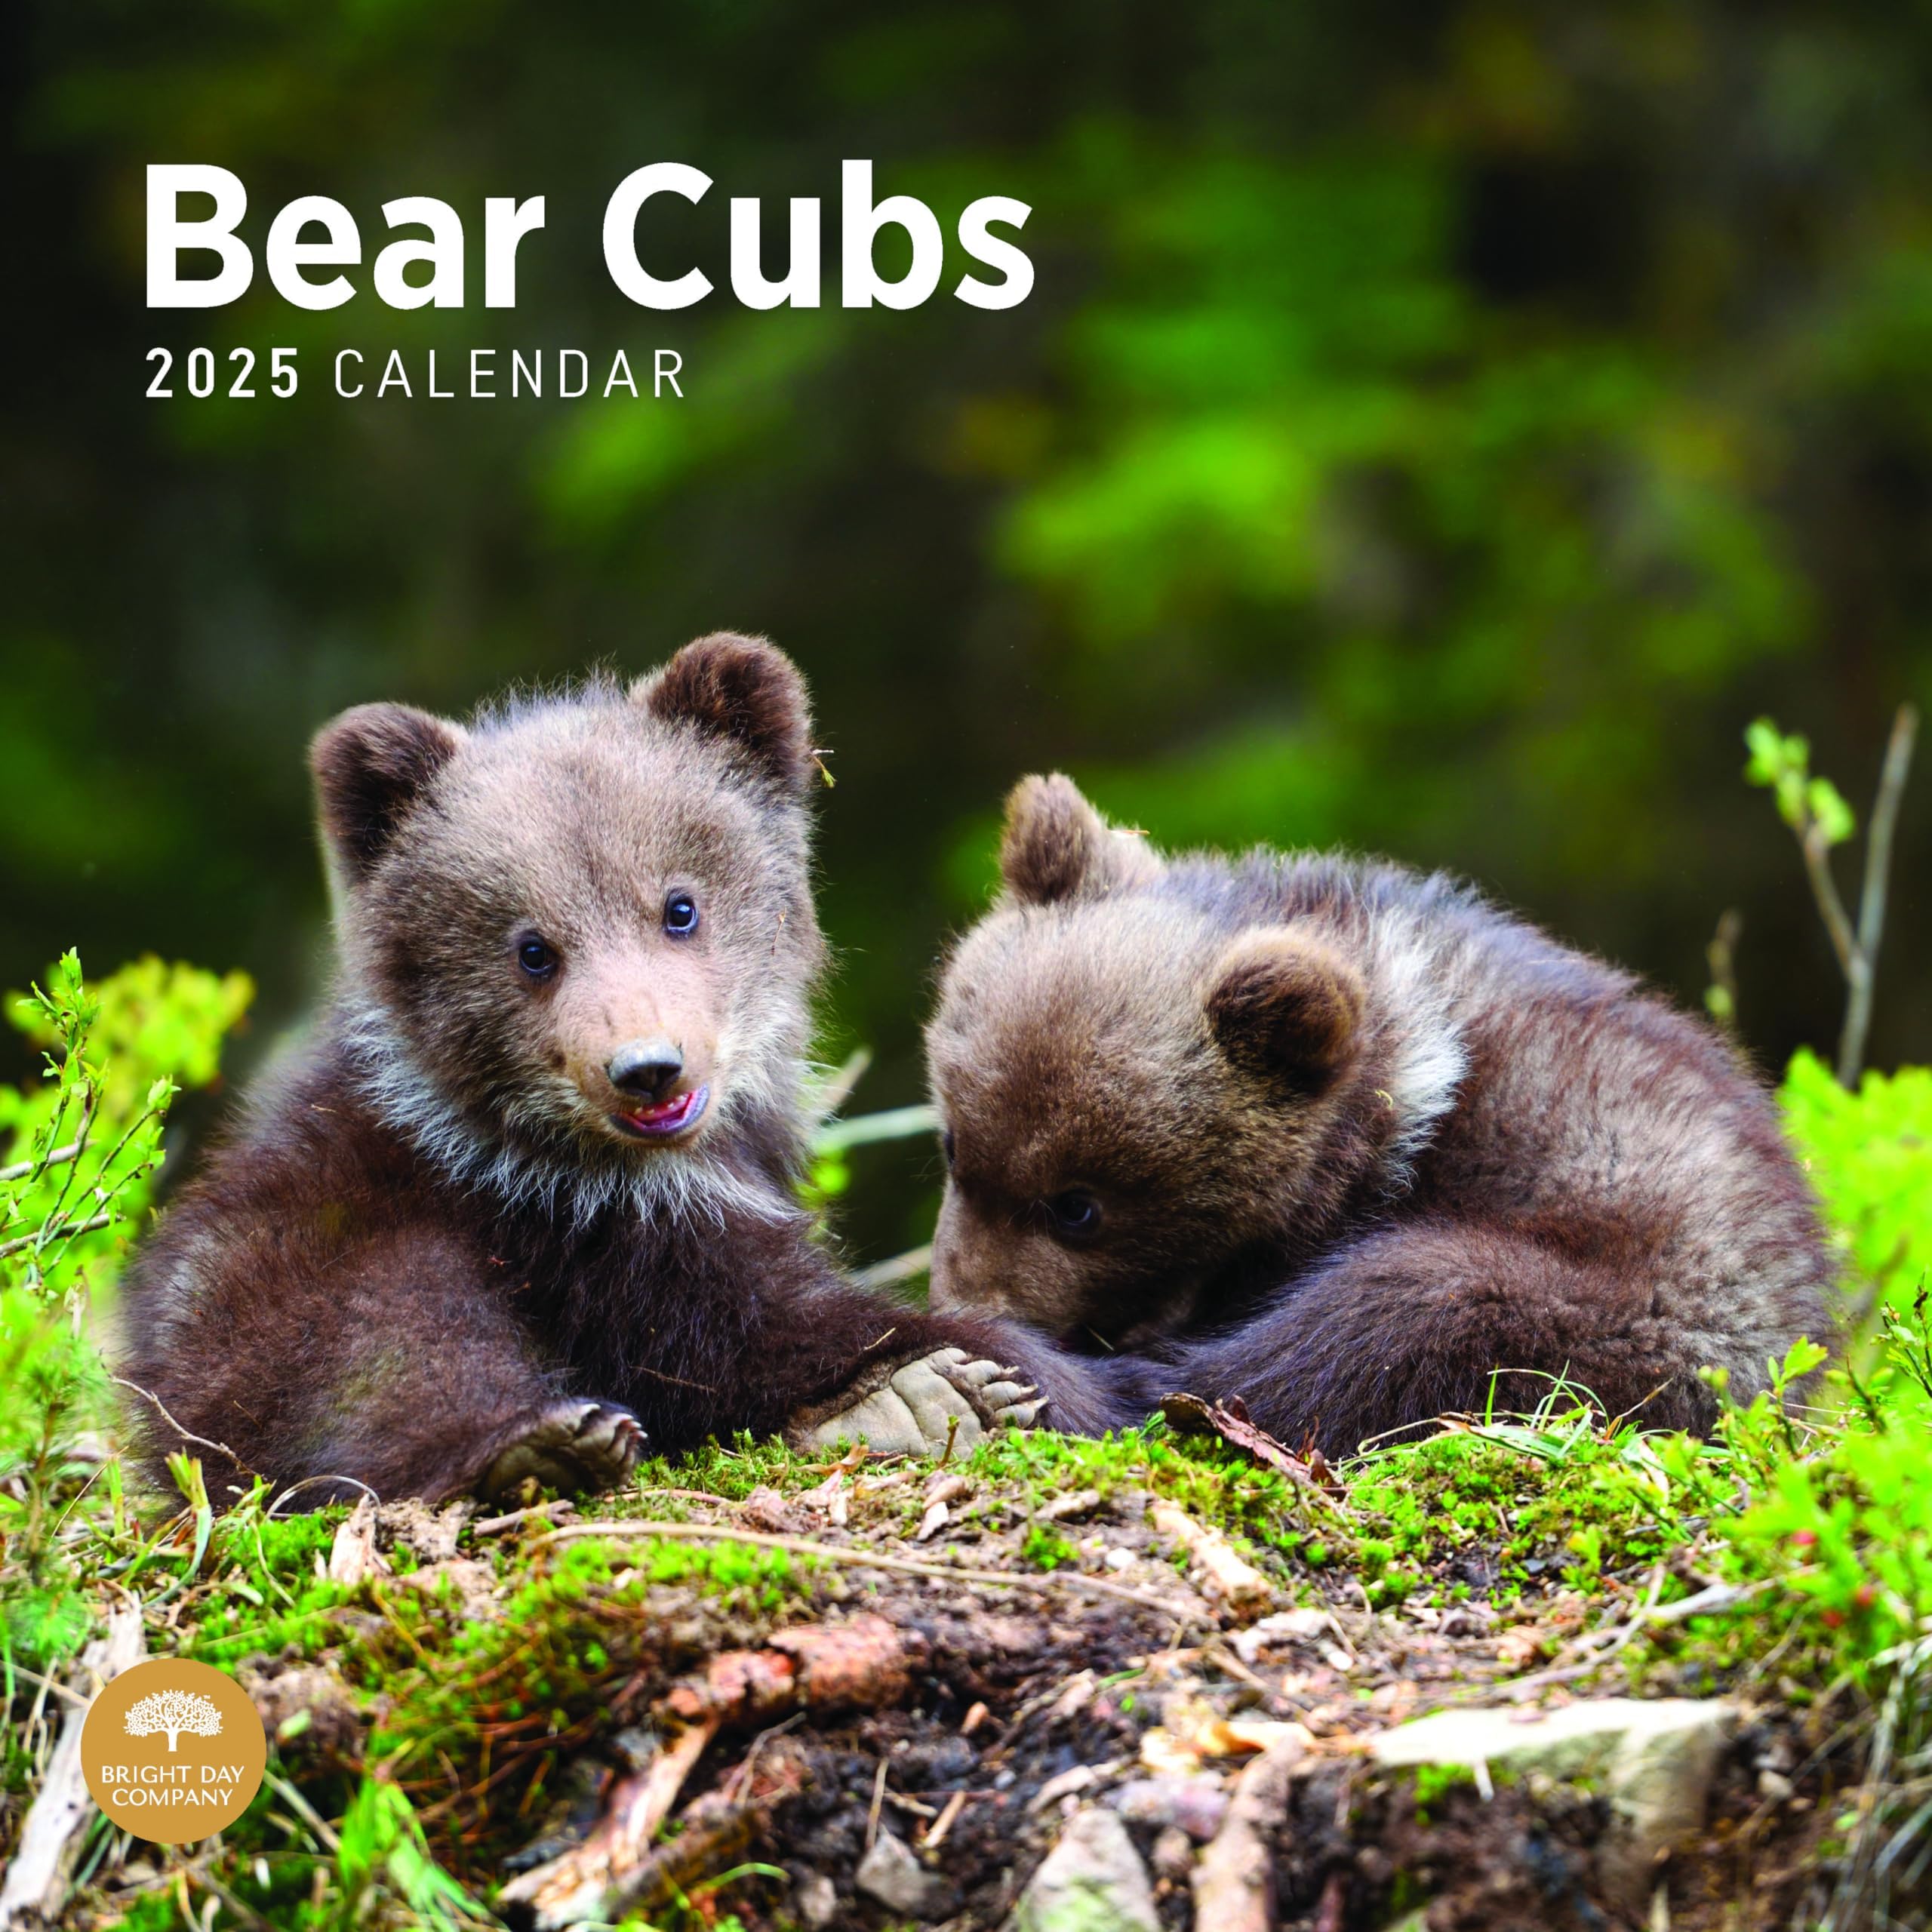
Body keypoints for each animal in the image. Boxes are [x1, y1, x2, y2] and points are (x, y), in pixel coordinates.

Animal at [117, 639, 1131, 1506]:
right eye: (532, 948)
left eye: (679, 905)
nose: (646, 1068)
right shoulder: (573, 1221)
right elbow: (745, 1325)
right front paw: (1019, 1374)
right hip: (283, 1282)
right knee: (389, 1348)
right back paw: (537, 1445)